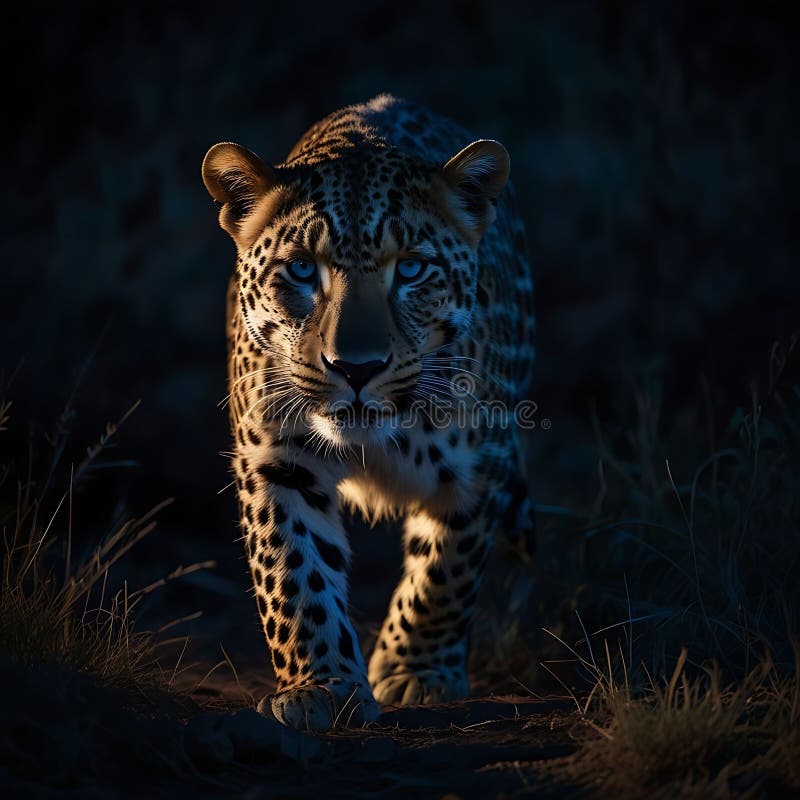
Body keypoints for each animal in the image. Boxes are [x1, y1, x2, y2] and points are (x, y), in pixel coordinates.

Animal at [201, 94, 535, 731]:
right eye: (302, 270)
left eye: (410, 269)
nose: (355, 368)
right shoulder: (275, 458)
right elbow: (295, 569)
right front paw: (321, 685)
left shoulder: (480, 465)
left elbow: (445, 570)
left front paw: (415, 670)